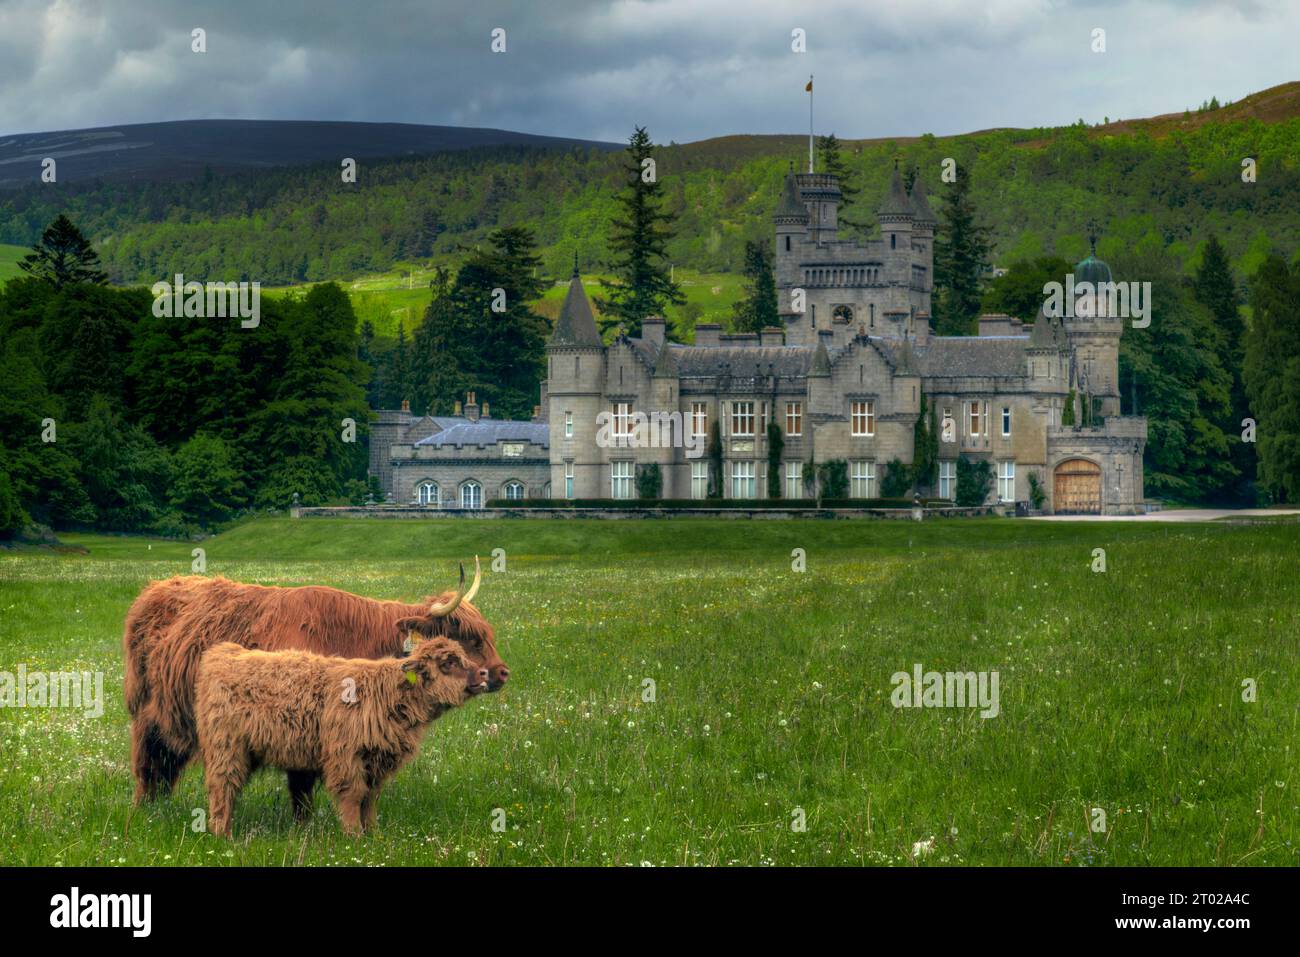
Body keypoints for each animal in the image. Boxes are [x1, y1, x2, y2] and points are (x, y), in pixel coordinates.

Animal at [196, 636, 486, 837]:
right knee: (223, 787)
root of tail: (224, 653)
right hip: (226, 747)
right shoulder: (346, 756)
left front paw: (373, 835)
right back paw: (223, 834)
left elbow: (370, 798)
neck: (389, 696)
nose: (483, 673)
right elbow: (353, 795)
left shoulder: (376, 762)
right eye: (448, 663)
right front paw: (353, 836)